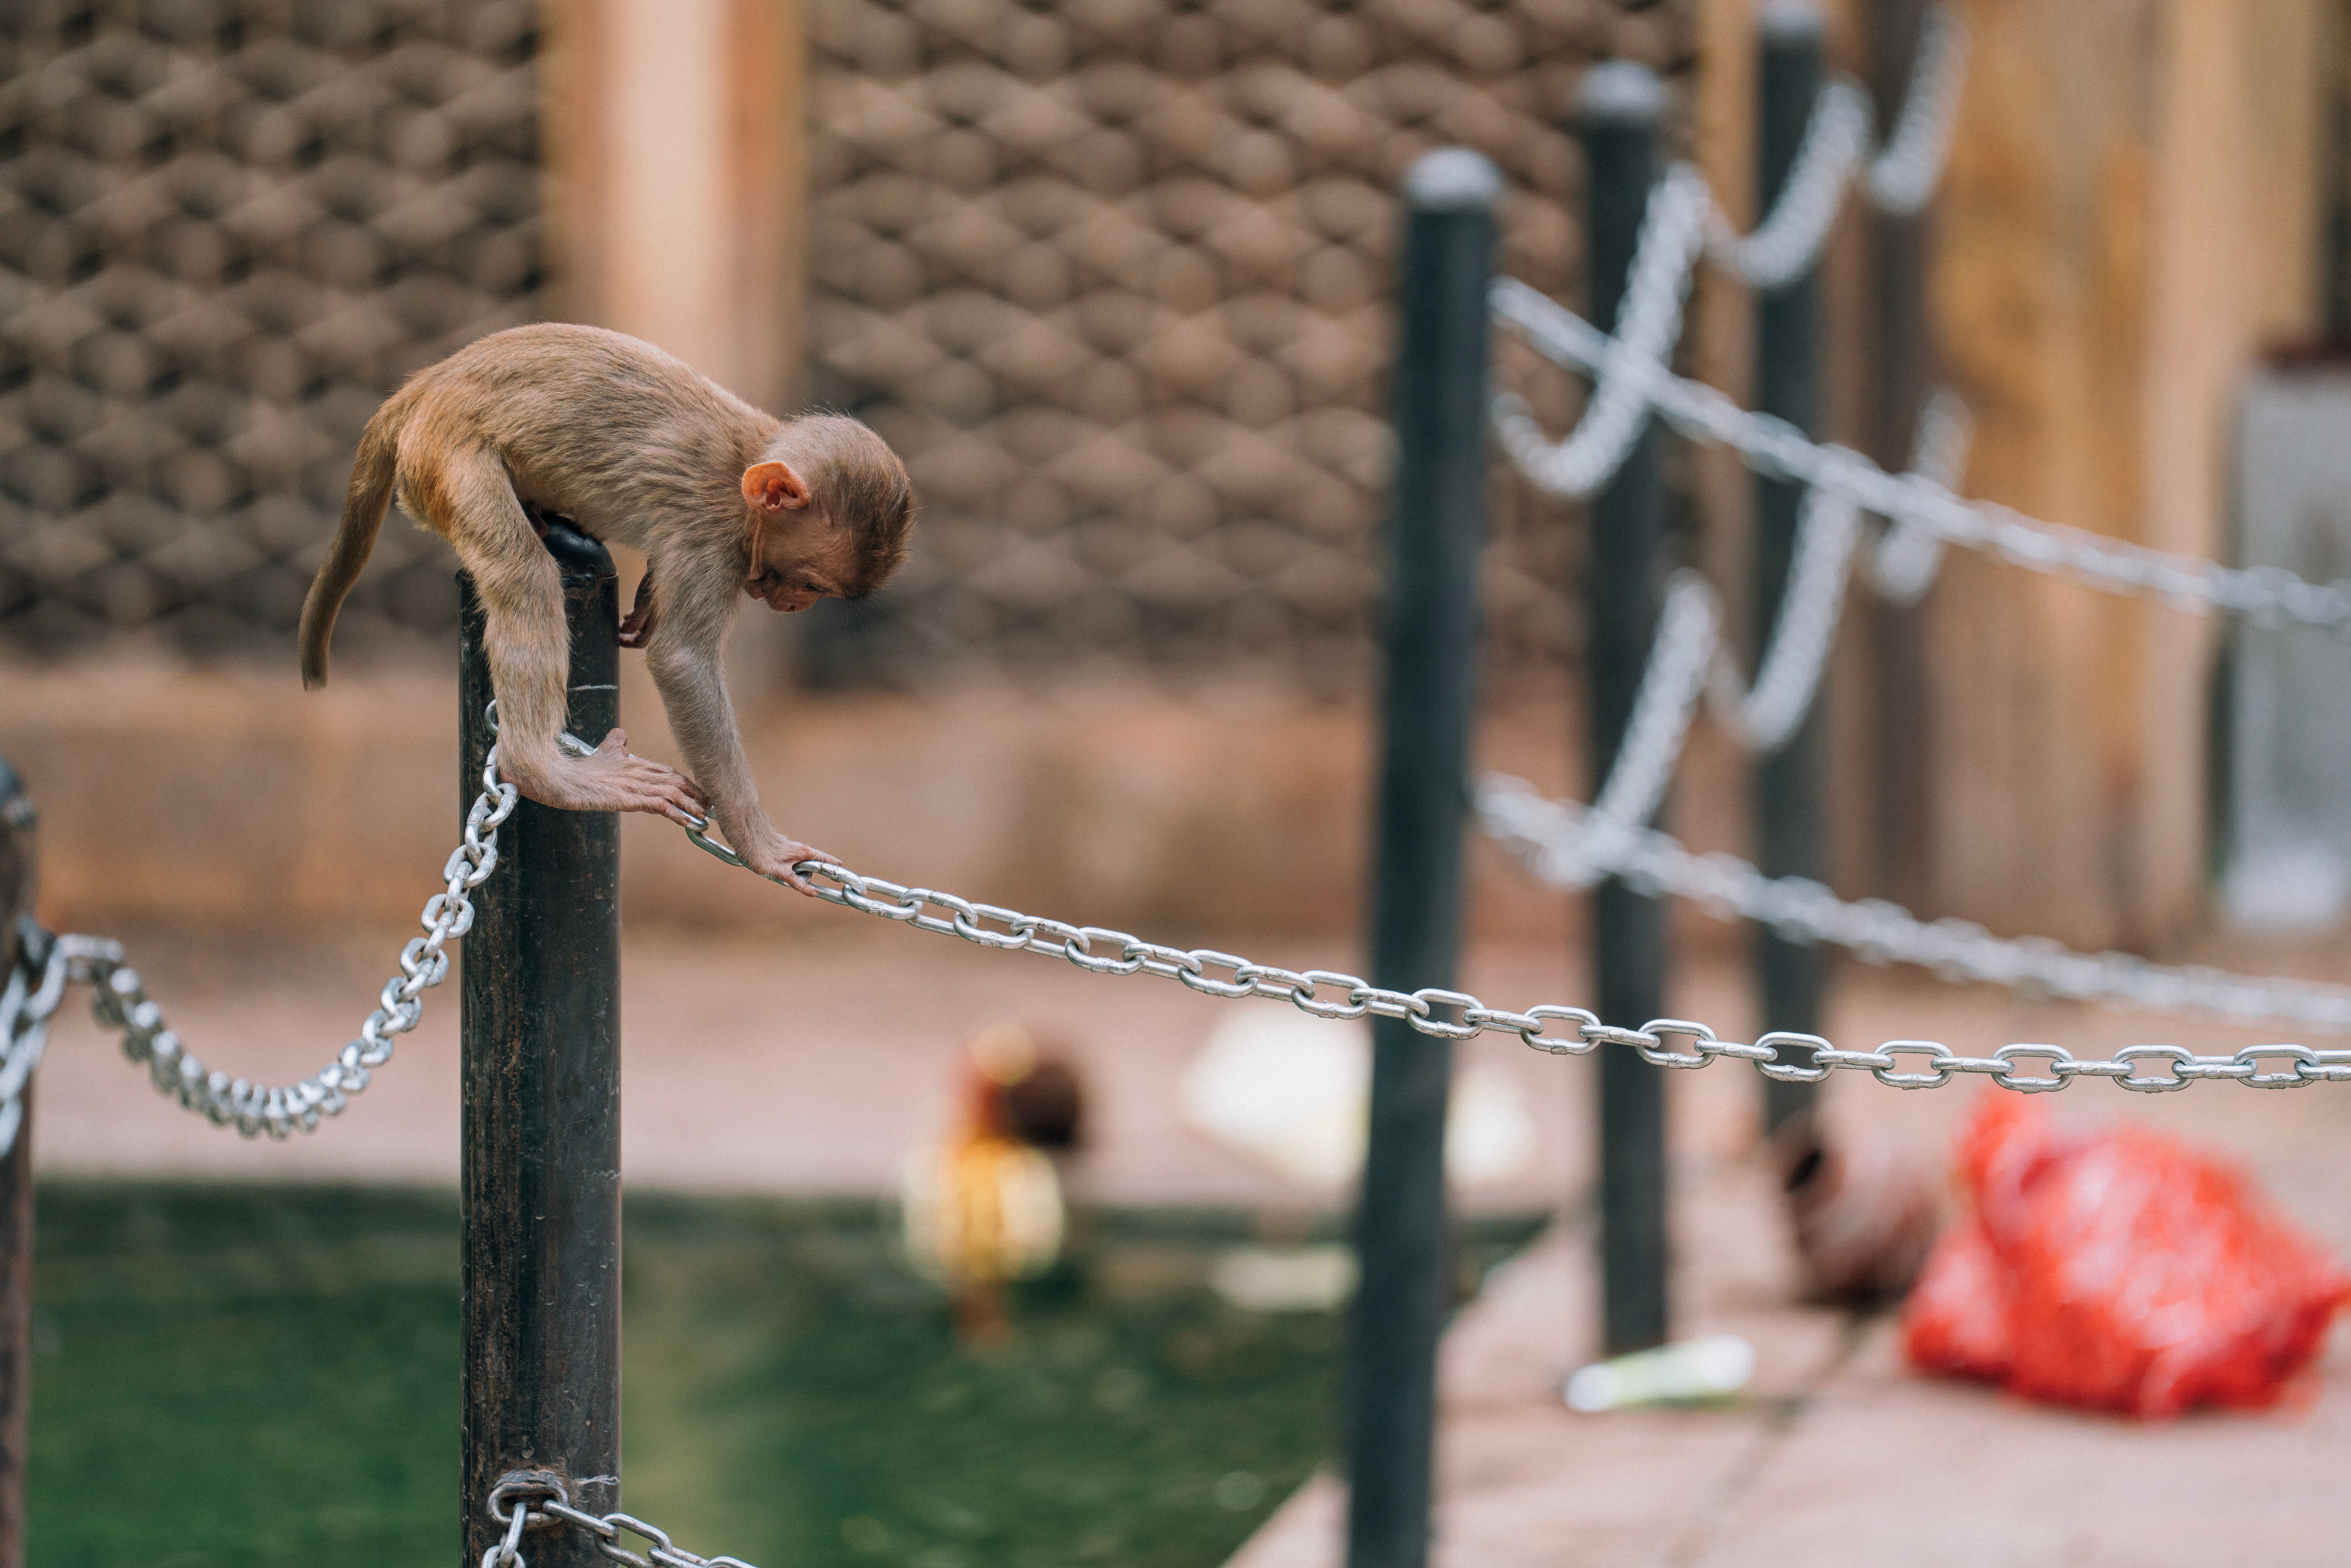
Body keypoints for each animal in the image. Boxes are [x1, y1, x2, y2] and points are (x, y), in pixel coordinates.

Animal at [296, 323, 915, 895]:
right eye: (809, 583)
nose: (792, 604)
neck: (747, 471)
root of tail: (426, 385)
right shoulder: (712, 538)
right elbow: (681, 662)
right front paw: (759, 844)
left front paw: (647, 604)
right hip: (448, 457)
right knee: (523, 574)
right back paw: (541, 772)